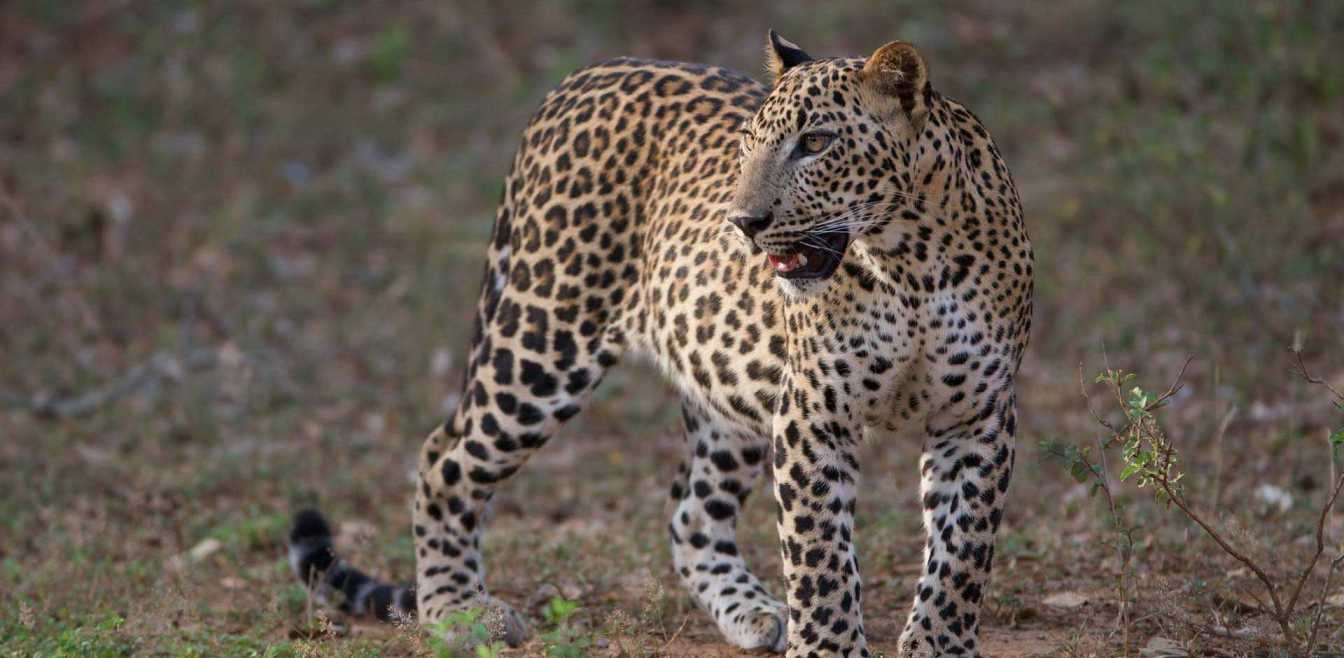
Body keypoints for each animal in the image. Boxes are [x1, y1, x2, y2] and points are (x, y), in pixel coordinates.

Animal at [288, 31, 1032, 658]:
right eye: (750, 144)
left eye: (818, 142)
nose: (744, 221)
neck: (910, 262)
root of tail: (583, 76)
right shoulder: (814, 415)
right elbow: (820, 559)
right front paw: (827, 648)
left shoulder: (978, 419)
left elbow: (960, 554)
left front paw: (937, 646)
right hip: (542, 339)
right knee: (444, 455)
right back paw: (459, 610)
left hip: (729, 385)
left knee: (690, 514)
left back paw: (754, 611)